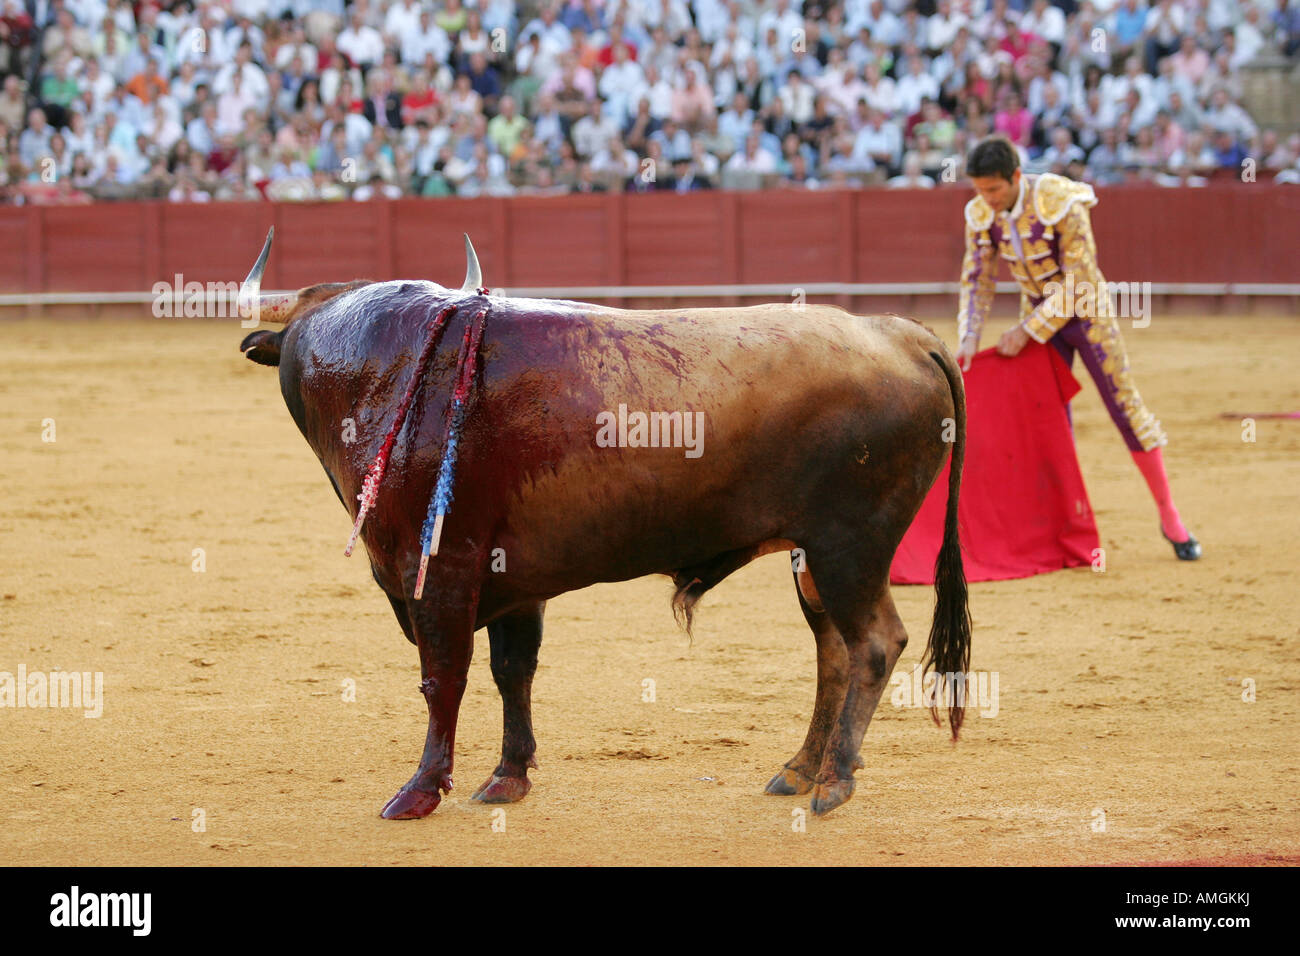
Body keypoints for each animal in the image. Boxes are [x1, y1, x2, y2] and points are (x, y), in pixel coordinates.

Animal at [236, 229, 971, 820]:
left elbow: (444, 678)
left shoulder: (439, 571)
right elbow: (513, 671)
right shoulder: (511, 582)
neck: (392, 374)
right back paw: (799, 770)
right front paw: (508, 777)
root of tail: (904, 333)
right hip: (811, 558)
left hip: (850, 549)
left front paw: (419, 791)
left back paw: (836, 781)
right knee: (833, 651)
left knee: (874, 644)